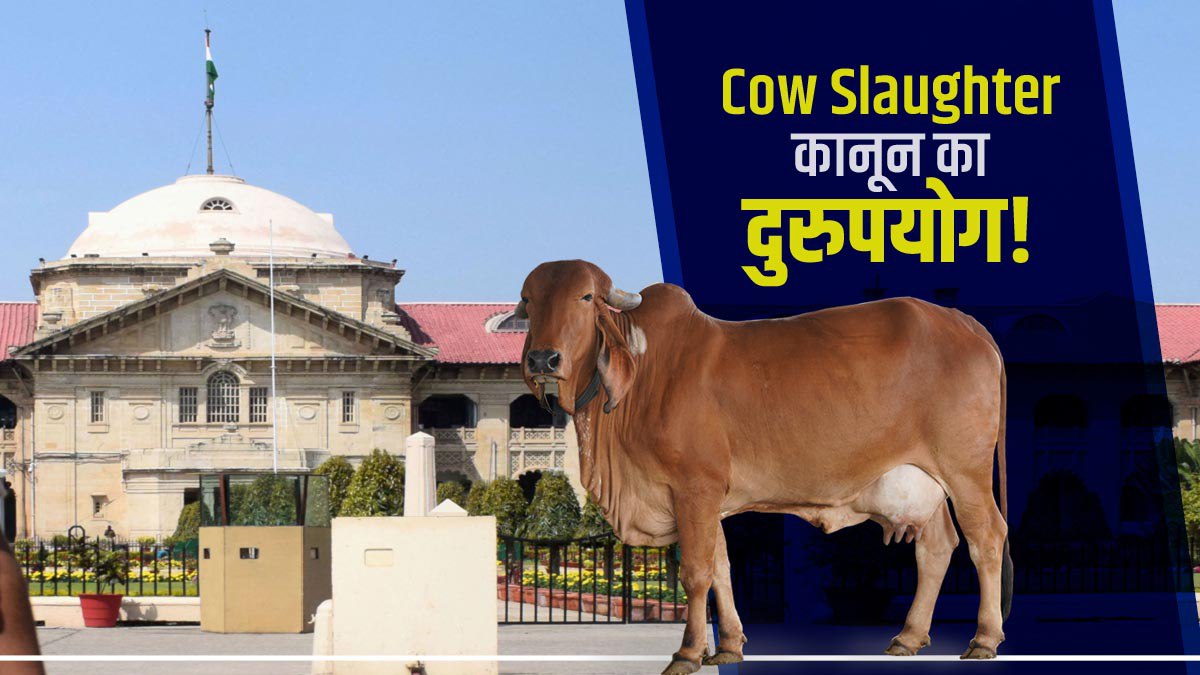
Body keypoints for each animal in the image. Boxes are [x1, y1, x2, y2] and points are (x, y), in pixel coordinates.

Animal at [518, 260, 1012, 674]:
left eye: (585, 297)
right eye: (529, 300)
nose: (543, 359)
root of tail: (965, 321)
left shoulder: (695, 488)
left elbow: (696, 571)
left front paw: (688, 653)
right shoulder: (709, 499)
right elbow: (721, 567)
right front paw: (728, 645)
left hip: (966, 471)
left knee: (986, 538)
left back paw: (984, 639)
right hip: (924, 479)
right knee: (937, 546)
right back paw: (909, 637)